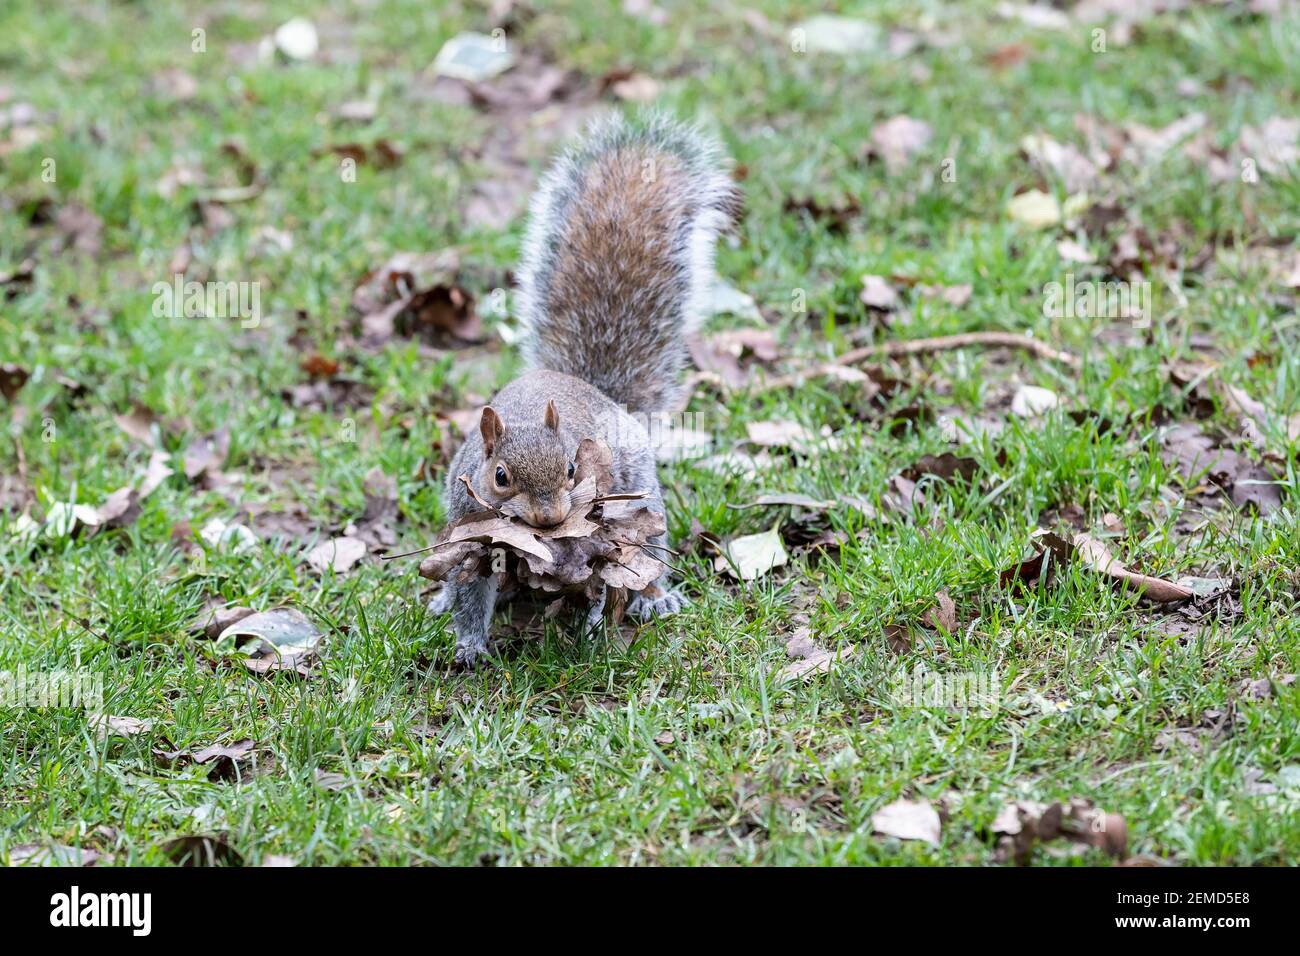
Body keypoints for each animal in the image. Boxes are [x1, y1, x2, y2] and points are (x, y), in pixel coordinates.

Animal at [436, 112, 740, 666]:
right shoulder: (471, 528)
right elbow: (472, 588)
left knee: (644, 556)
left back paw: (654, 598)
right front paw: (468, 644)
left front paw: (593, 624)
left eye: (574, 469)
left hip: (641, 497)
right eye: (500, 476)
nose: (551, 518)